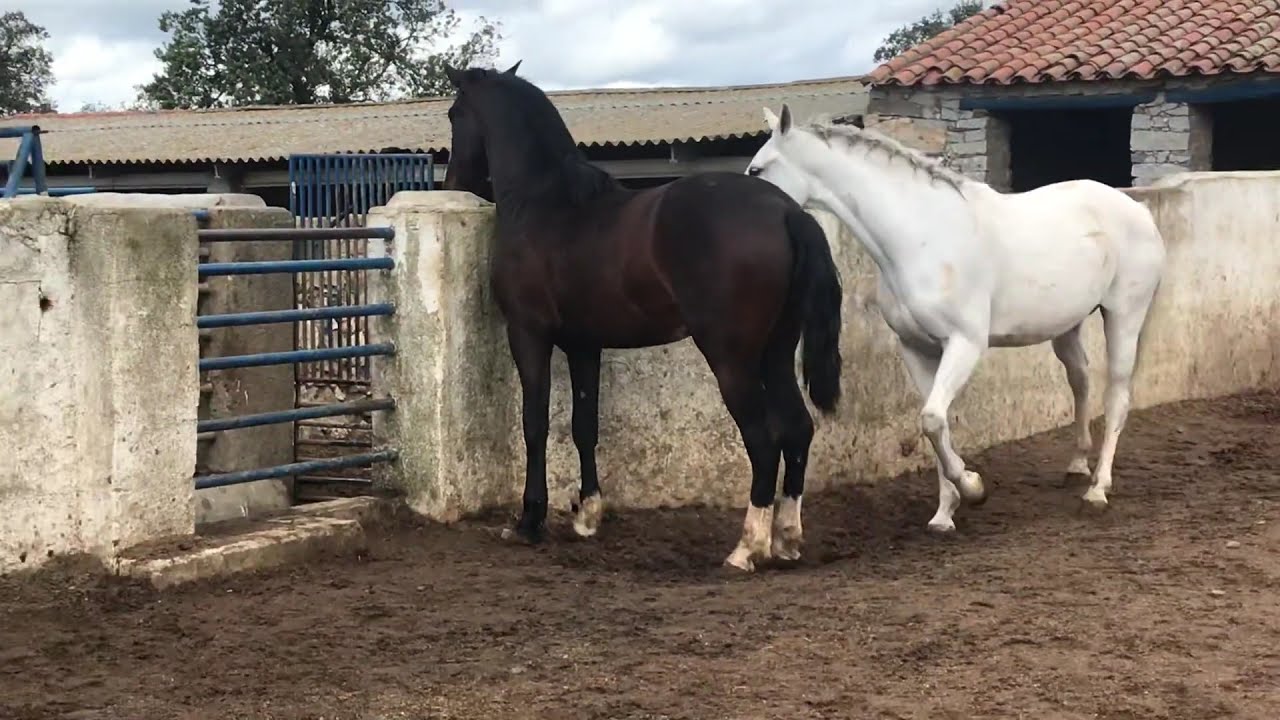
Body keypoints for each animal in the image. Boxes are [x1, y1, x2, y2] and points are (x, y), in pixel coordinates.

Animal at [440, 63, 845, 572]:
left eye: (454, 114)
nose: (451, 184)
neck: (547, 205)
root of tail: (787, 211)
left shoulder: (528, 334)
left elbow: (535, 424)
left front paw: (529, 521)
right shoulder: (583, 344)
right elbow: (584, 424)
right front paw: (587, 515)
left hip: (731, 358)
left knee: (764, 438)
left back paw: (746, 547)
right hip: (775, 352)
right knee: (797, 429)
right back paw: (786, 537)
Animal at [745, 104, 1166, 533]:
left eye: (757, 169)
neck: (921, 238)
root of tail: (1139, 210)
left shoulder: (965, 344)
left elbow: (932, 419)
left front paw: (973, 488)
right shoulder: (916, 349)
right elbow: (936, 424)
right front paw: (945, 513)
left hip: (1124, 316)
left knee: (1117, 396)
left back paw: (1097, 491)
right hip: (1066, 325)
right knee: (1080, 380)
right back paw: (1078, 465)